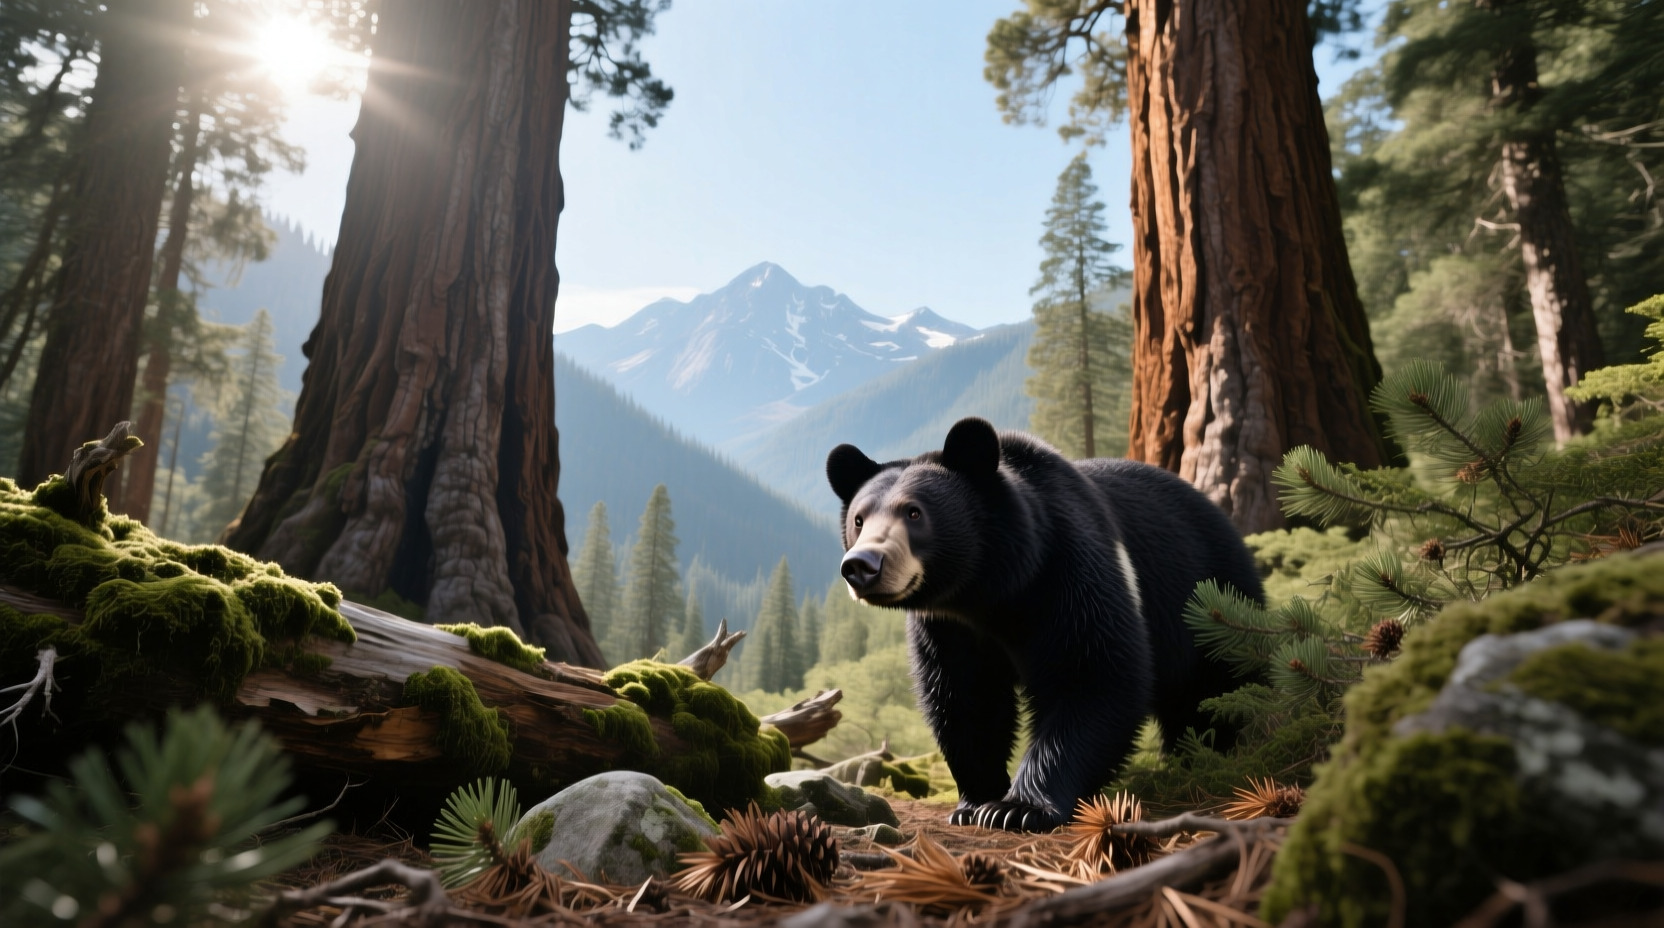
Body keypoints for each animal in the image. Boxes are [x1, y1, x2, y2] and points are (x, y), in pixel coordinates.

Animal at [825, 416, 1265, 832]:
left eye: (914, 512)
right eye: (859, 520)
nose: (862, 566)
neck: (987, 588)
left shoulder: (1065, 570)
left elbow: (1092, 673)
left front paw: (1018, 809)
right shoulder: (947, 626)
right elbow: (965, 696)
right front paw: (975, 803)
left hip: (1210, 598)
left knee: (1216, 688)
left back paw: (1209, 753)